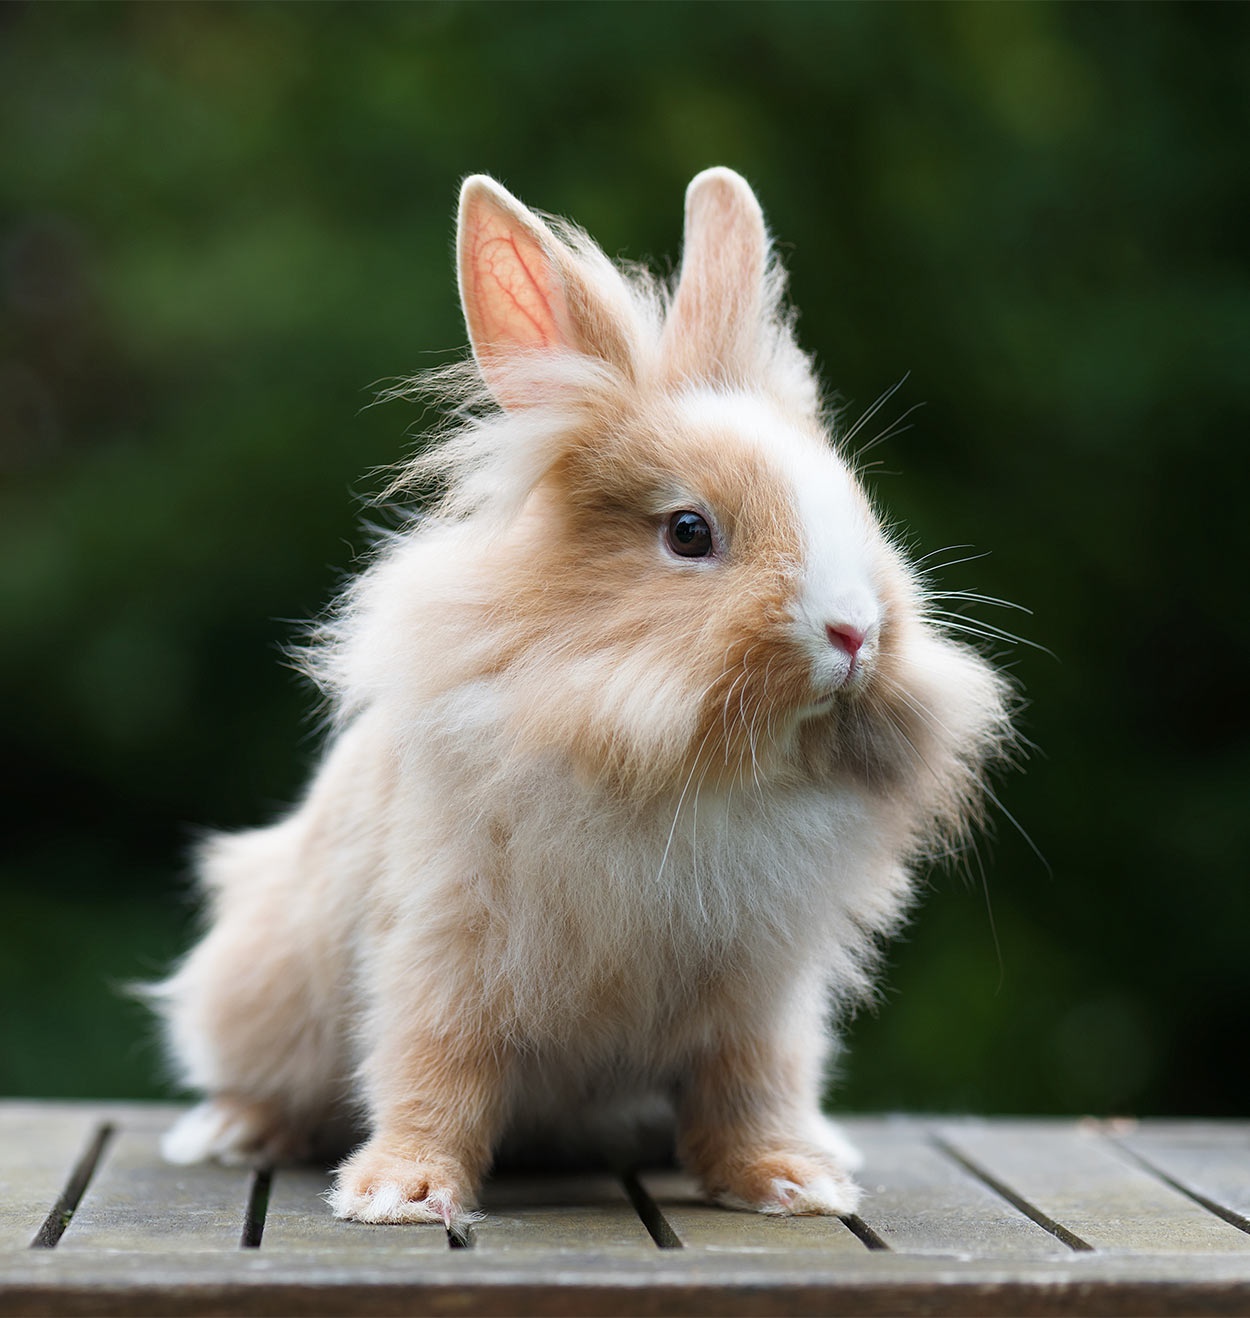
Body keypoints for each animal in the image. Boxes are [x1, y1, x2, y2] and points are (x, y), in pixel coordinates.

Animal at [152, 168, 1014, 1231]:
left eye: (859, 509)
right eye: (689, 532)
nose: (854, 633)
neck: (683, 768)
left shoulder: (760, 995)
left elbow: (749, 1089)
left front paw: (790, 1183)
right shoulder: (445, 949)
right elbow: (434, 1070)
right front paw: (402, 1193)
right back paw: (231, 1133)